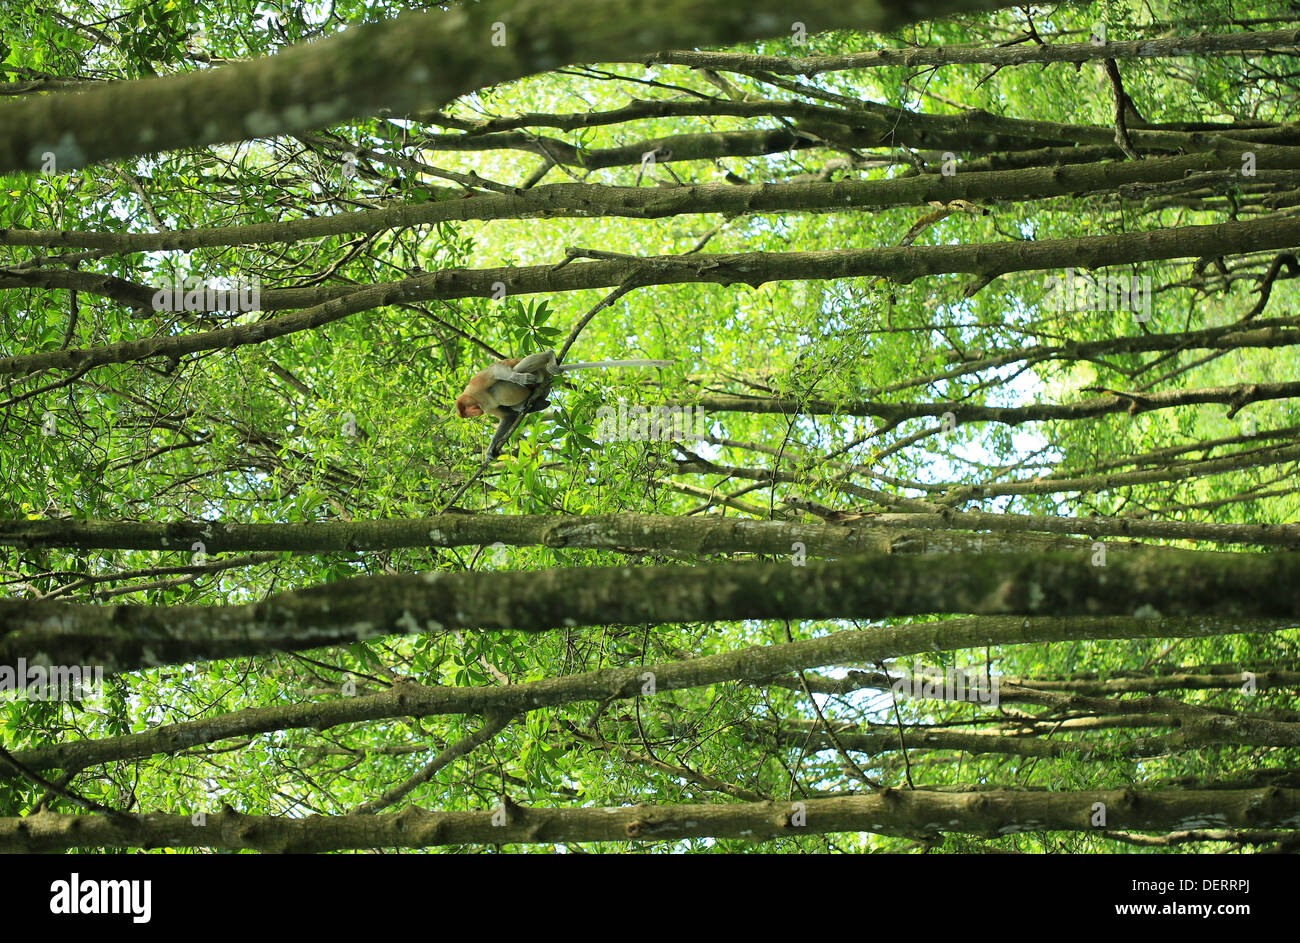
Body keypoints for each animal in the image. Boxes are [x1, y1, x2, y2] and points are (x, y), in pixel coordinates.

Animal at [455, 349, 673, 457]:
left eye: (468, 409)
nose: (475, 412)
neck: (478, 398)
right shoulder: (487, 405)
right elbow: (507, 415)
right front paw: (491, 450)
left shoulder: (478, 383)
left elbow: (499, 372)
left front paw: (518, 378)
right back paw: (537, 404)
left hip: (536, 370)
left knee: (517, 368)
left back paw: (547, 359)